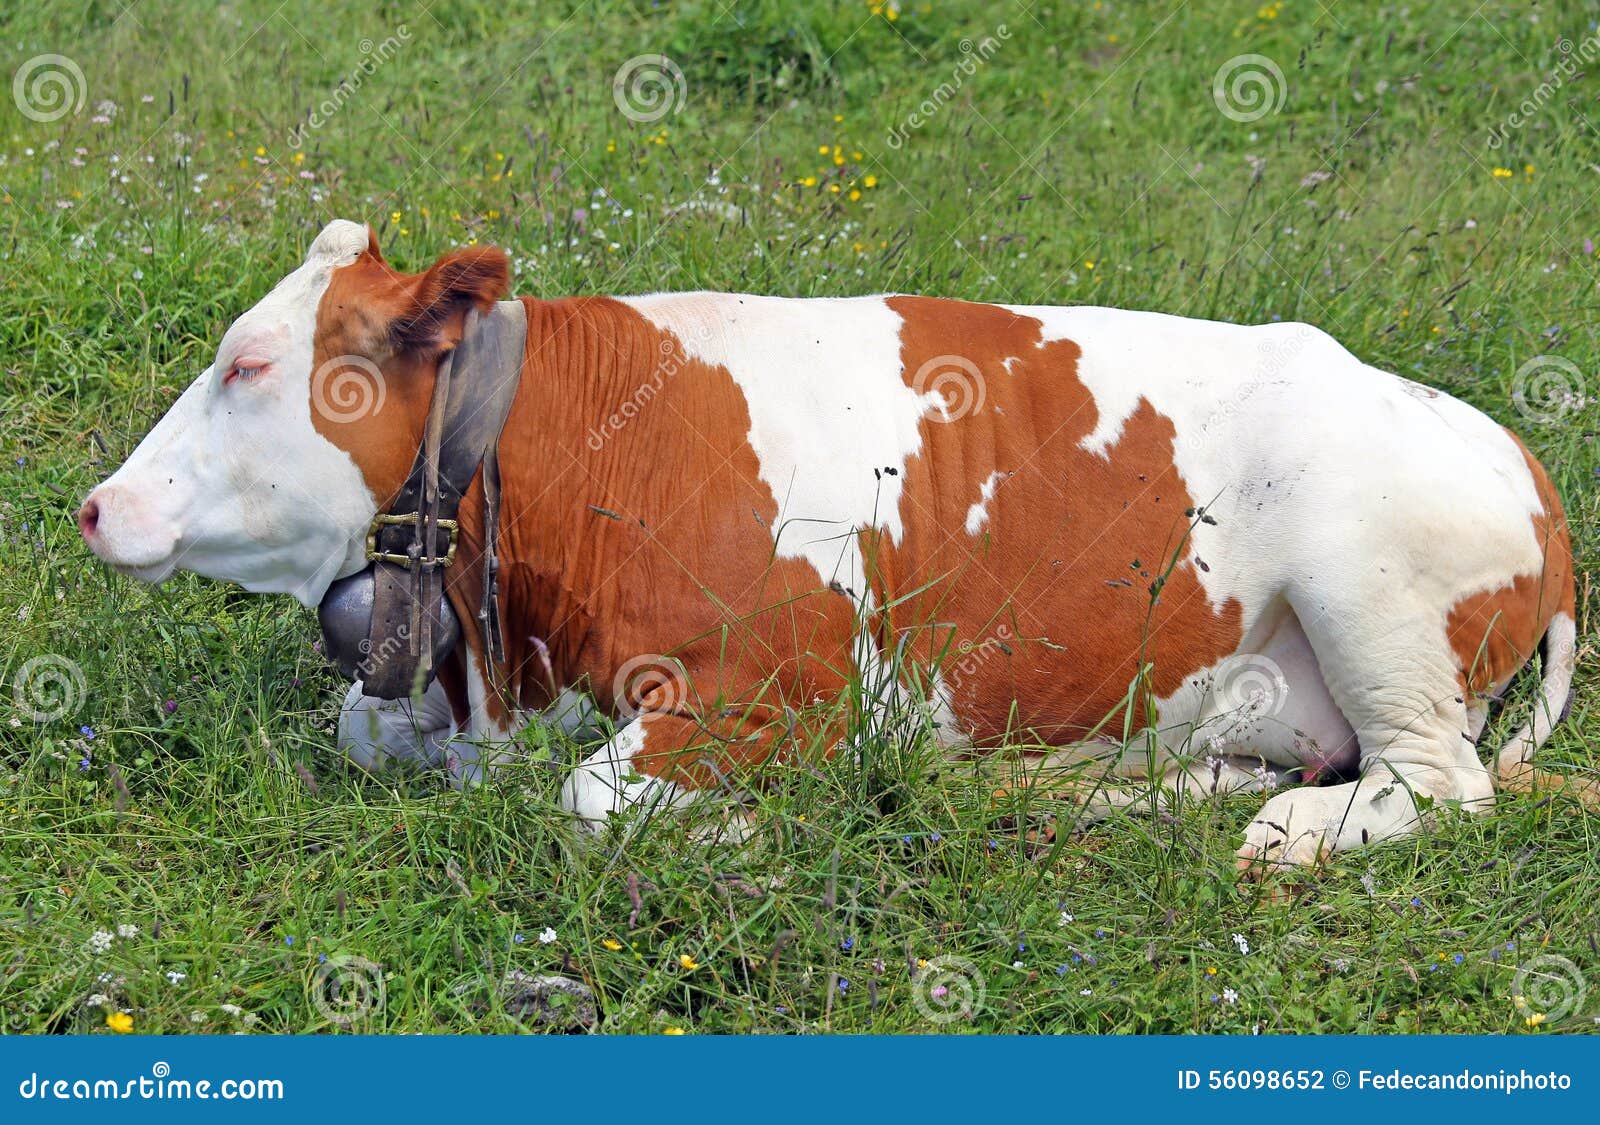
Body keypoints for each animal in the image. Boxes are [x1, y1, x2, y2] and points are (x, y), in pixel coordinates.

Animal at [80, 219, 1589, 872]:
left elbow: (592, 800)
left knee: (1439, 785)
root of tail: (1522, 461)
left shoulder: (788, 688)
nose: (97, 503)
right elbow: (363, 727)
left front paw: (759, 822)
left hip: (1372, 594)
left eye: (250, 365)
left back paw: (1287, 831)